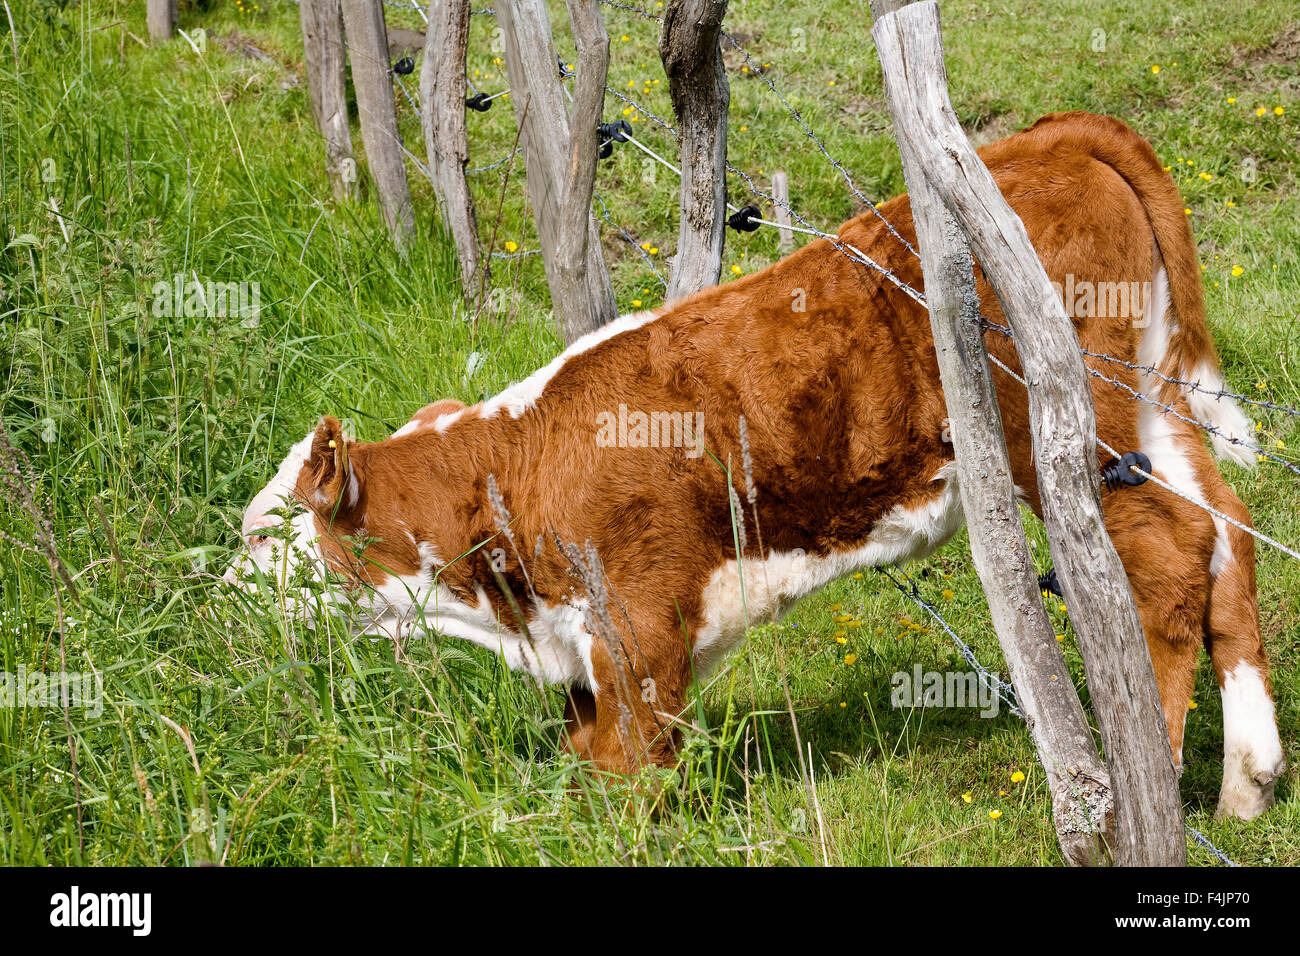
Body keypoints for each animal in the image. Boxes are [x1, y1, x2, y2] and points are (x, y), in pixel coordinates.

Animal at [226, 112, 1285, 821]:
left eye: (266, 533)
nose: (217, 603)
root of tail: (1054, 137)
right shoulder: (584, 653)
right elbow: (586, 758)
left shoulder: (636, 635)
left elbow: (624, 774)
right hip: (1148, 399)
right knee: (1226, 528)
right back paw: (1249, 781)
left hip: (1061, 423)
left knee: (1167, 557)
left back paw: (1150, 776)